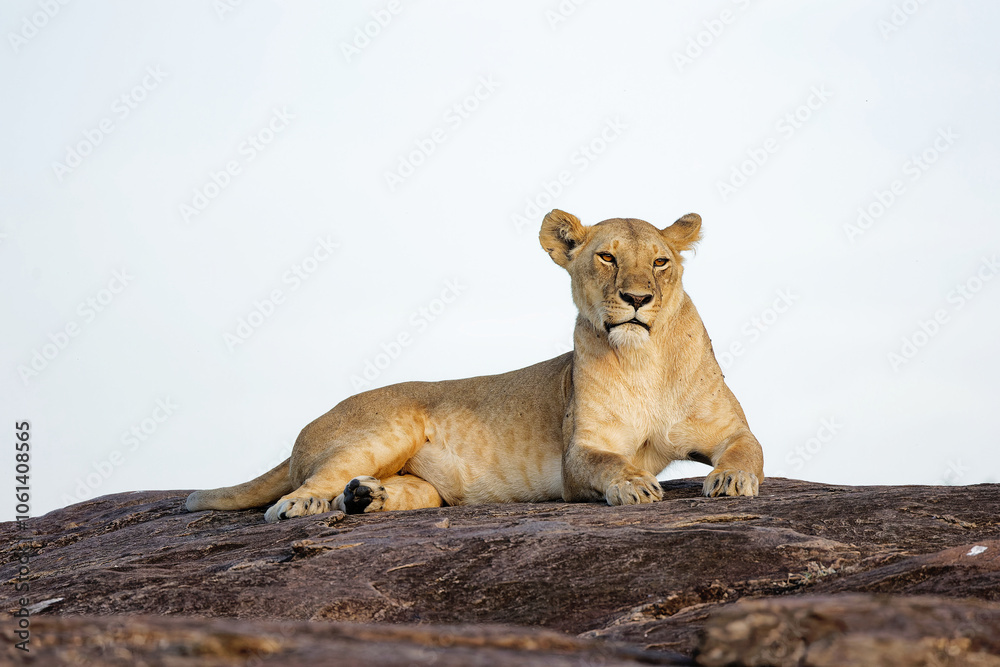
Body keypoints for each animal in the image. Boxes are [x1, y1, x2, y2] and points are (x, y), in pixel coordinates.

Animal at [185, 210, 764, 522]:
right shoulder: (578, 455)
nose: (638, 298)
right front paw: (636, 486)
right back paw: (304, 504)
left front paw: (731, 482)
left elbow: (748, 450)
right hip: (386, 427)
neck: (643, 361)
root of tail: (304, 432)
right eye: (607, 257)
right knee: (303, 486)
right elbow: (609, 464)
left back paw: (365, 494)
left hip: (423, 482)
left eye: (661, 261)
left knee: (404, 492)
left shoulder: (730, 428)